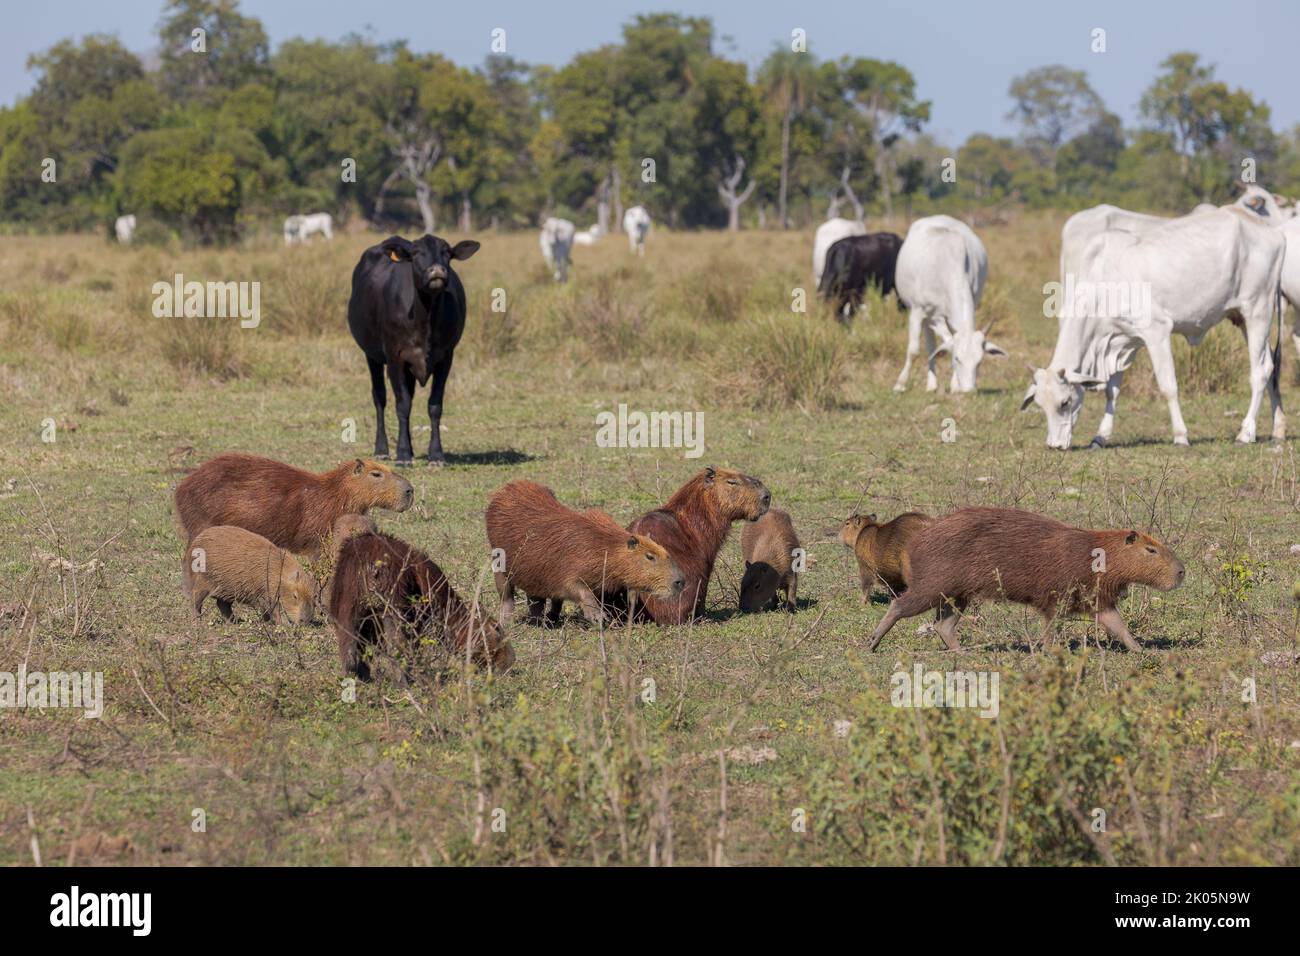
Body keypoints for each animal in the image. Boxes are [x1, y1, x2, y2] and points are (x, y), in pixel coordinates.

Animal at [346, 234, 480, 466]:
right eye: (417, 253)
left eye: (447, 252)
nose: (437, 270)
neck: (425, 318)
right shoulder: (395, 357)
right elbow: (402, 405)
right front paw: (402, 454)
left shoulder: (446, 357)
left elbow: (434, 405)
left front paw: (436, 455)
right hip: (372, 356)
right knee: (380, 397)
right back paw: (382, 449)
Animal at [892, 215, 1002, 393]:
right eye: (957, 359)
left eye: (979, 361)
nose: (969, 390)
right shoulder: (917, 312)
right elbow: (914, 351)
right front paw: (900, 384)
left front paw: (955, 385)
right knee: (930, 347)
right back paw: (931, 385)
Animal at [1023, 206, 1285, 449]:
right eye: (1040, 405)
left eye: (1064, 402)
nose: (1055, 445)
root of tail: (1272, 232)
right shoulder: (1119, 340)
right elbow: (1112, 390)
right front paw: (1100, 437)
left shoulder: (1156, 332)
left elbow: (1168, 386)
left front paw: (1180, 436)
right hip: (1242, 318)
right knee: (1270, 367)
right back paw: (1277, 430)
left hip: (1258, 311)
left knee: (1259, 372)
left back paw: (1246, 433)